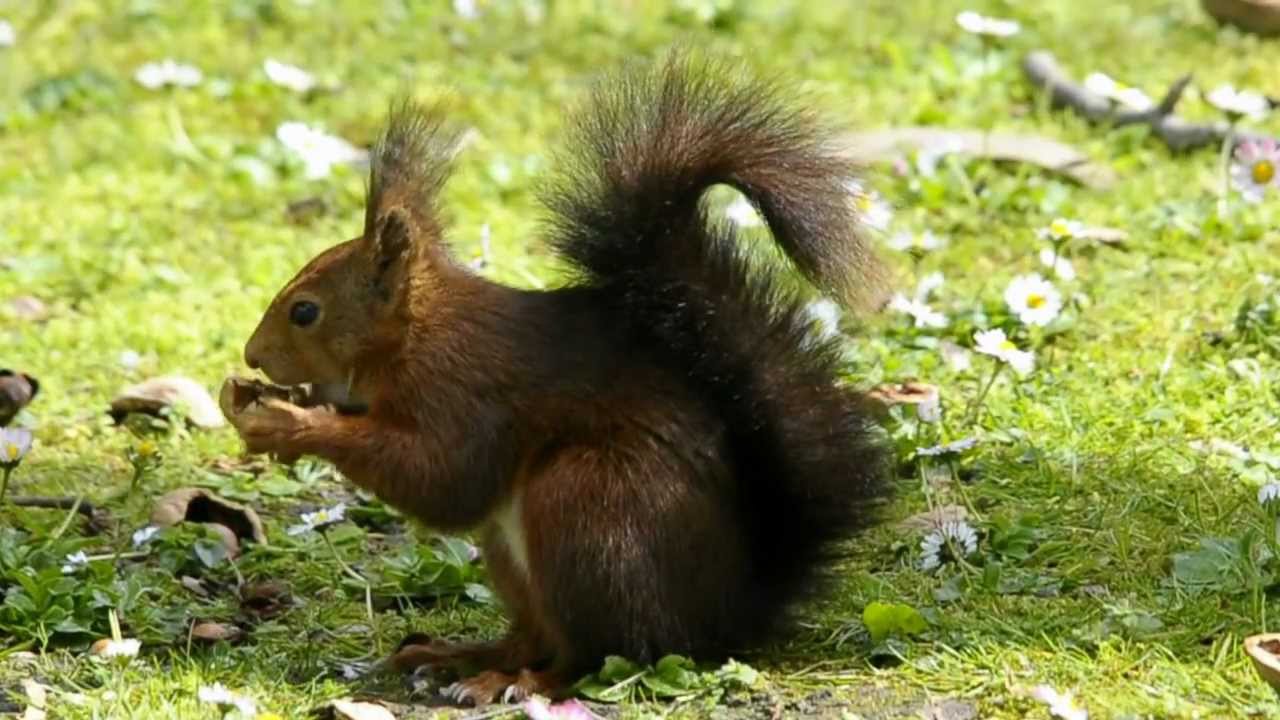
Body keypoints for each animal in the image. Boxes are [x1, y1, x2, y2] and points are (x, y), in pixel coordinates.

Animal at [221, 52, 891, 706]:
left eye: (304, 311)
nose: (253, 356)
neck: (416, 334)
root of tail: (727, 614)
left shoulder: (468, 391)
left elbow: (443, 478)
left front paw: (291, 422)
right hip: (518, 550)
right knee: (535, 636)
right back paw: (463, 656)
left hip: (588, 510)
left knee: (592, 654)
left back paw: (517, 682)